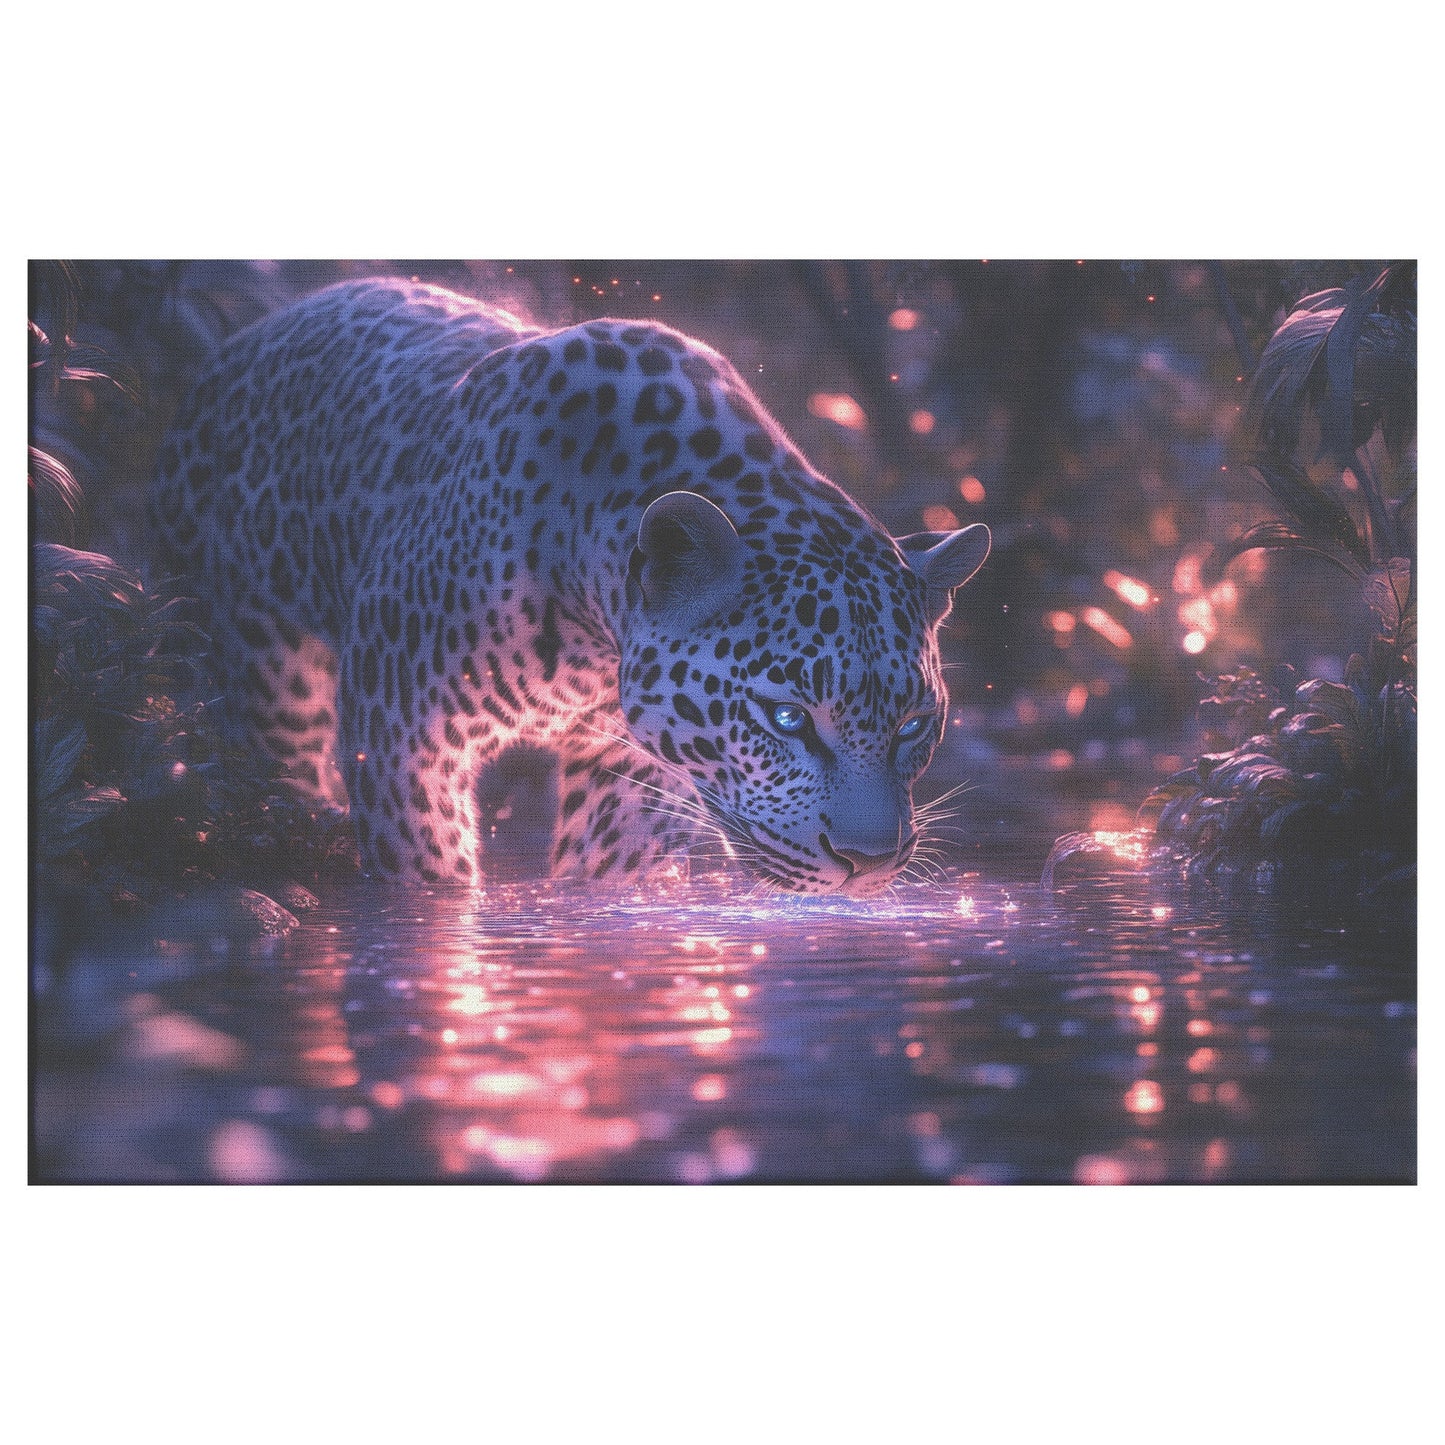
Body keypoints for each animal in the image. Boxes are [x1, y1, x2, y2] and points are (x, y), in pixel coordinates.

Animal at [150, 277, 990, 894]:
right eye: (786, 718)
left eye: (915, 724)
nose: (869, 864)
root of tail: (234, 346)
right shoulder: (402, 737)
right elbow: (427, 880)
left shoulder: (631, 769)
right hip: (261, 671)